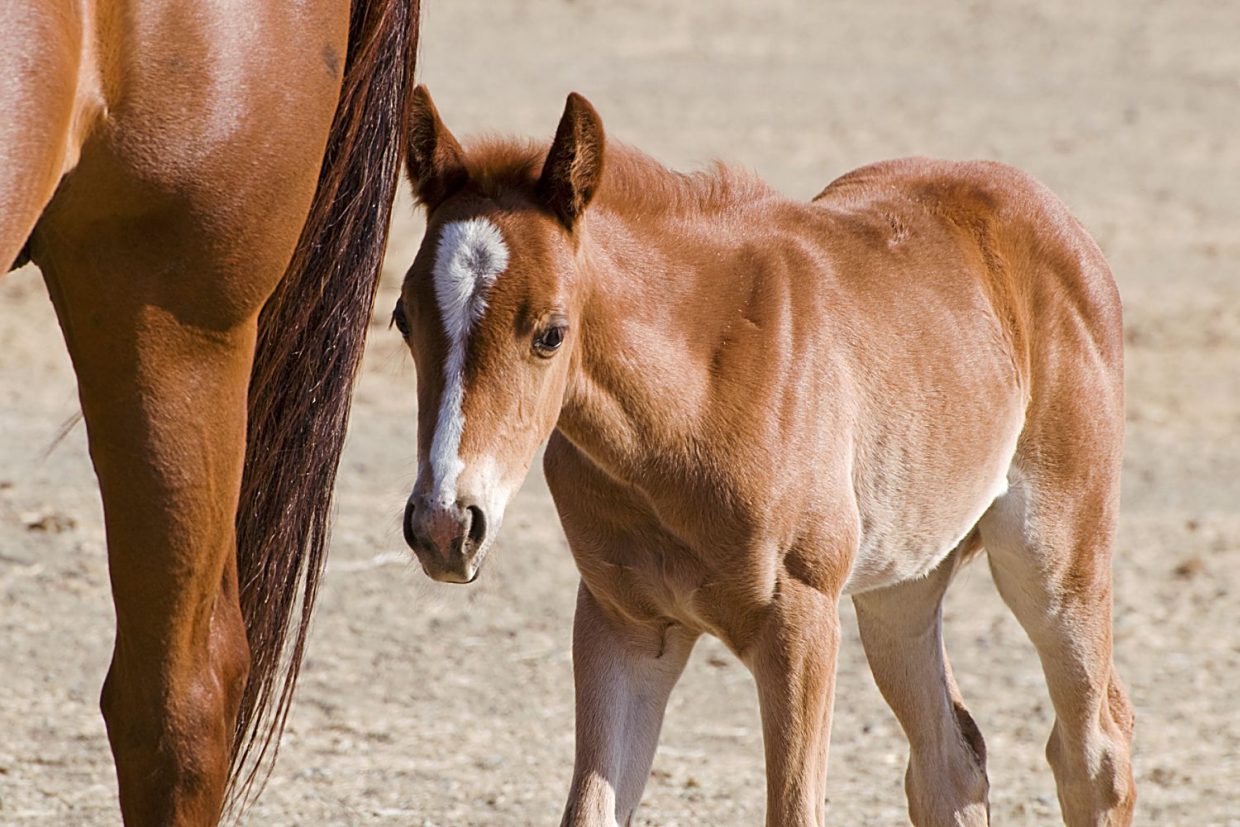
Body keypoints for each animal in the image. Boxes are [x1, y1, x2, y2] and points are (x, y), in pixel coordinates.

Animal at [394, 87, 1136, 827]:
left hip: (1053, 562)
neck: (684, 418)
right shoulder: (624, 625)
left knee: (1094, 754)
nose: (445, 526)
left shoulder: (799, 623)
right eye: (403, 318)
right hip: (902, 582)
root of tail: (1051, 217)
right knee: (950, 763)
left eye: (551, 332)